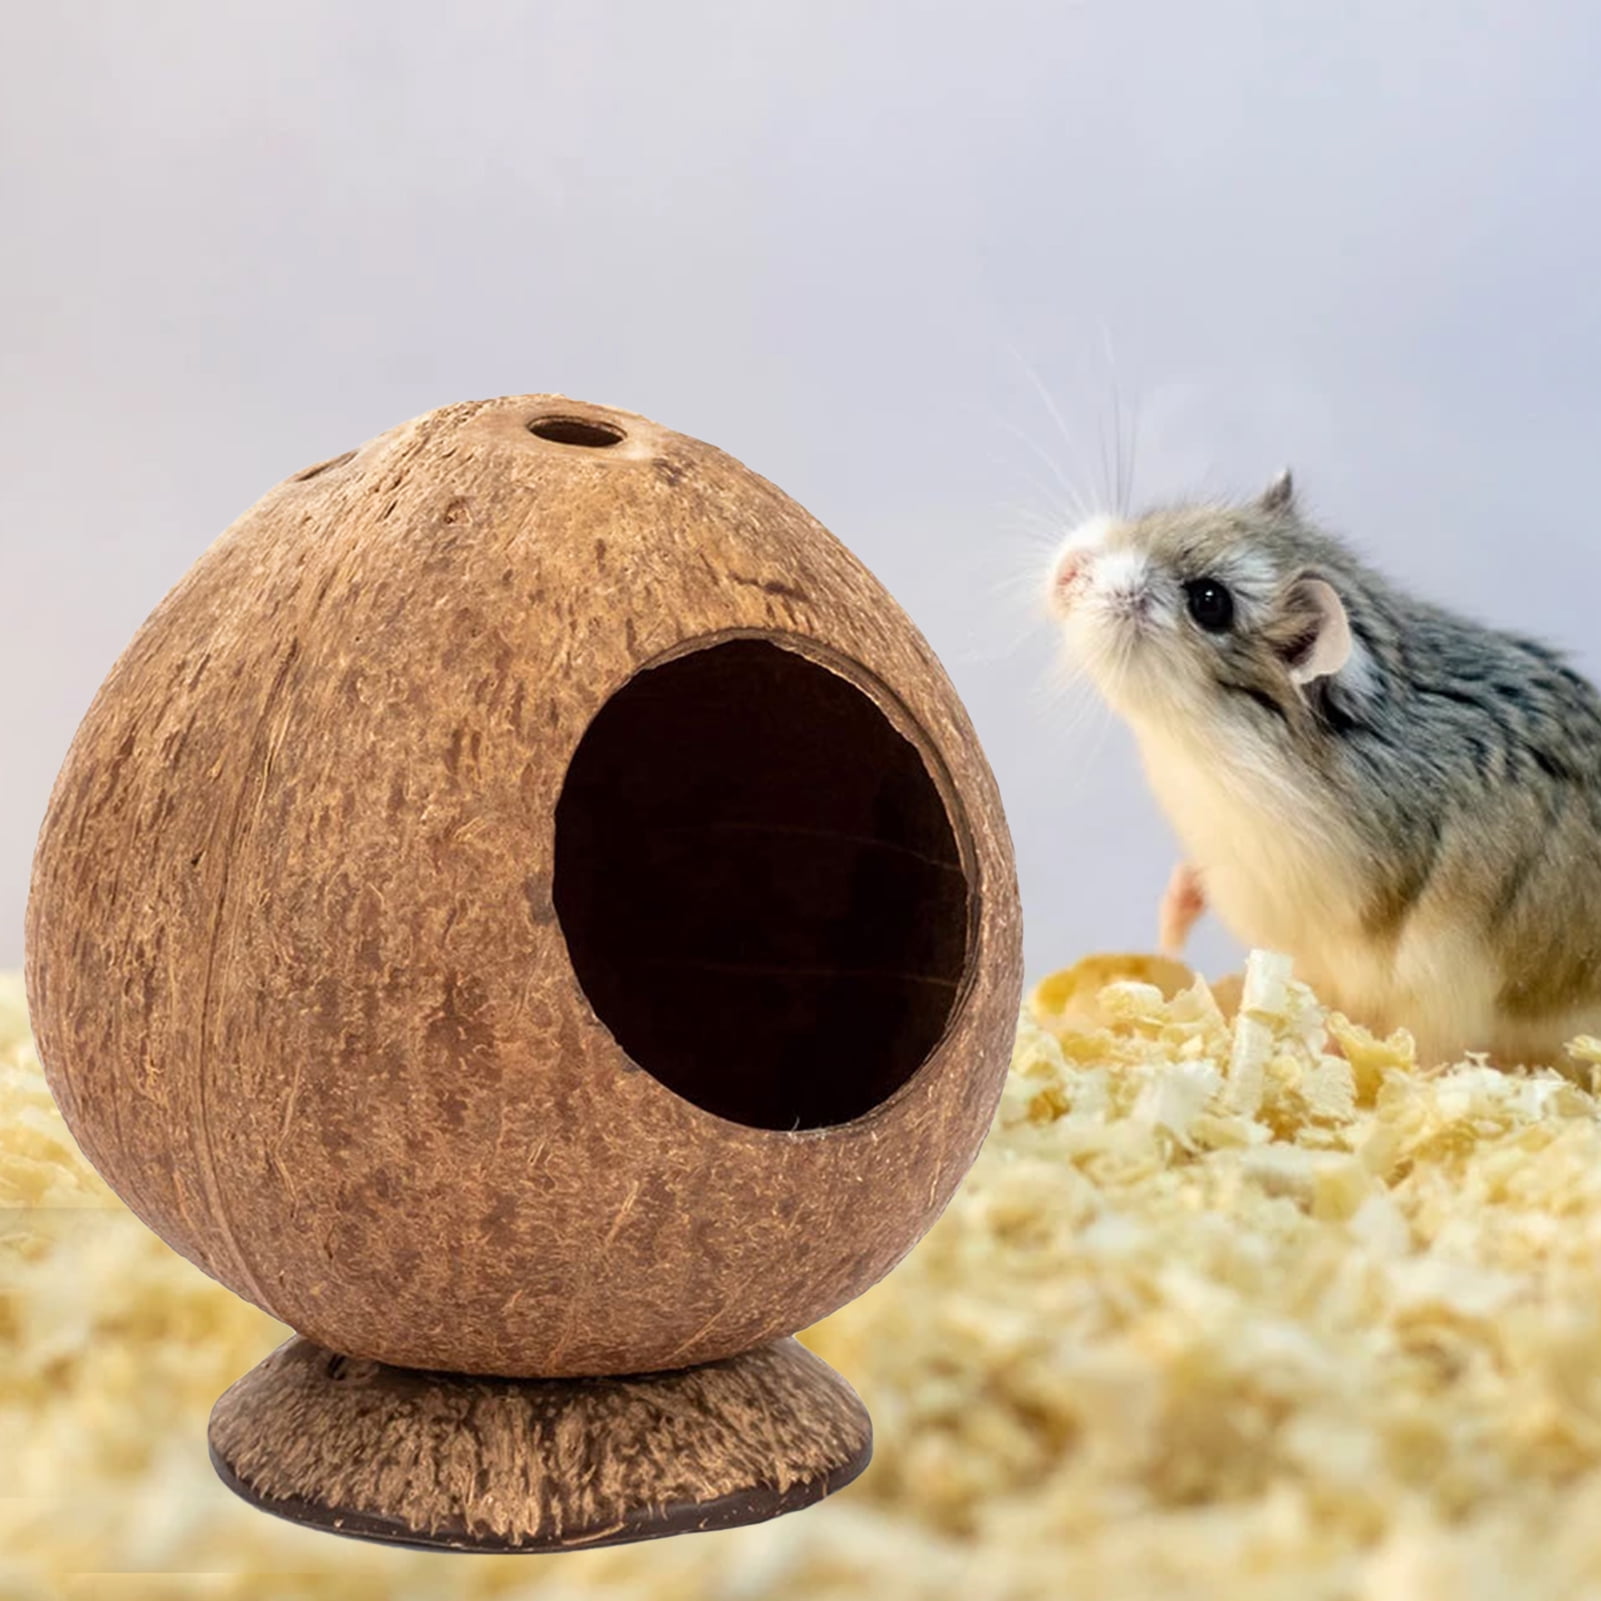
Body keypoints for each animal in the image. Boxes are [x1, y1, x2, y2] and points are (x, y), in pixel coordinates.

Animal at [1044, 469, 1601, 1069]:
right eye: (1170, 517)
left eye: (1210, 602)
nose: (1066, 569)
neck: (1213, 747)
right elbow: (1193, 876)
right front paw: (1169, 930)